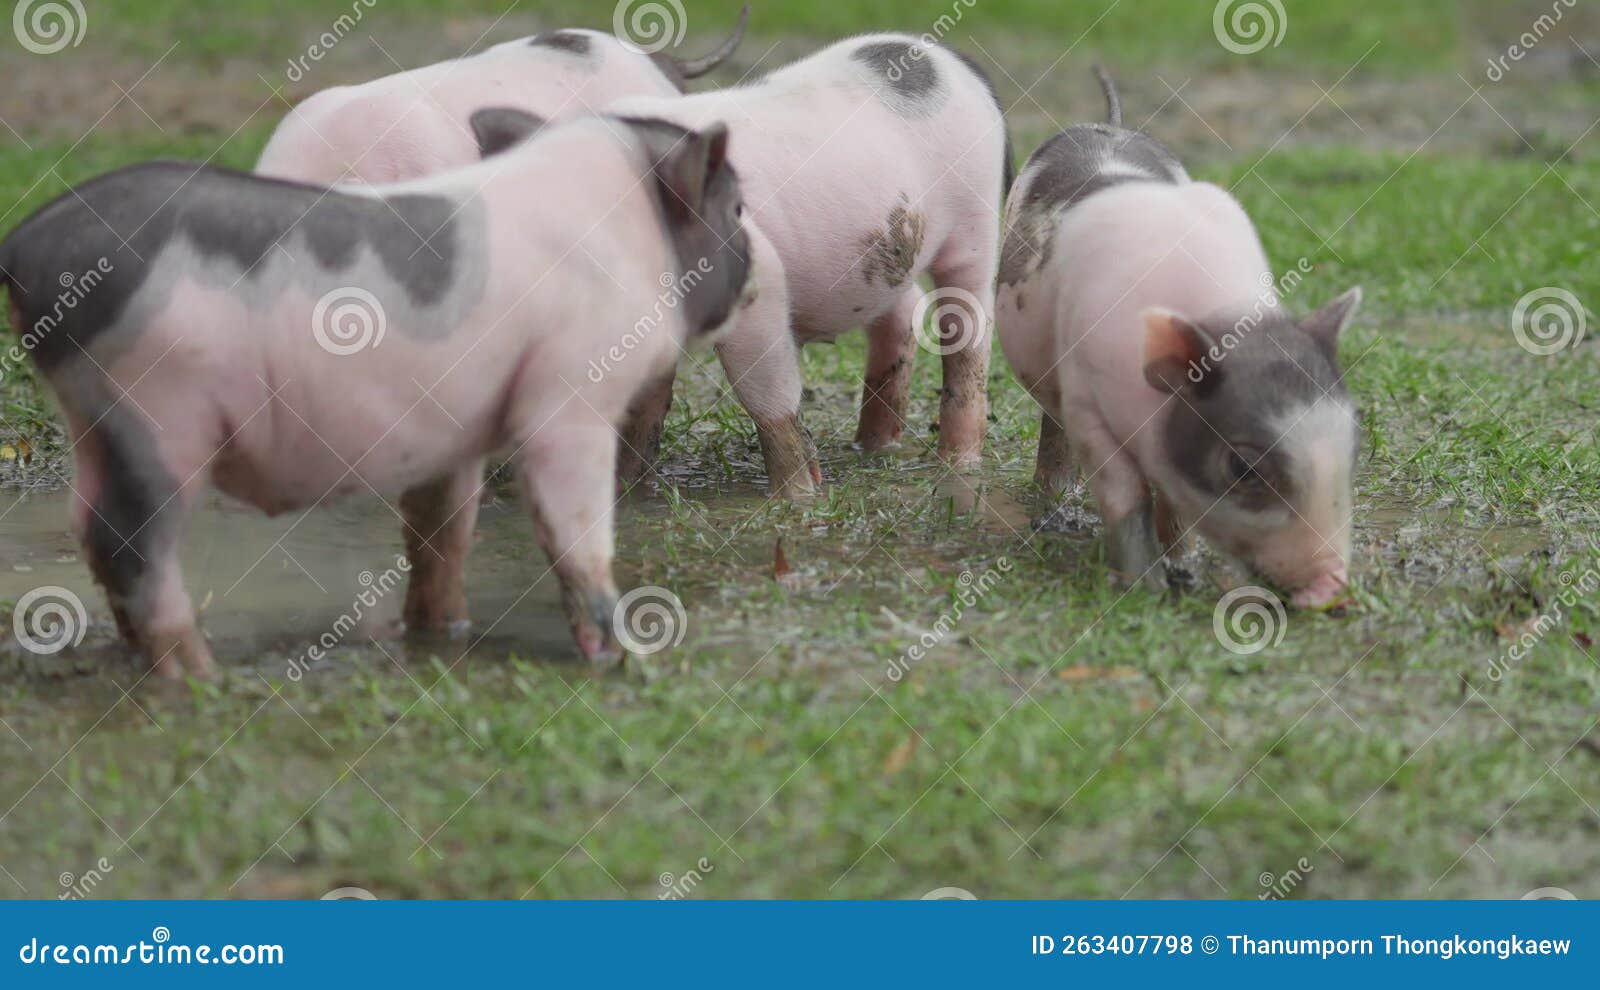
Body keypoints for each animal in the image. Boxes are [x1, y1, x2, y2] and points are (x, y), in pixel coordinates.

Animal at [0, 114, 753, 677]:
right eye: (738, 206)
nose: (754, 265)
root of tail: (26, 247)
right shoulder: (571, 392)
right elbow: (577, 533)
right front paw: (622, 660)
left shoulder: (458, 430)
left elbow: (441, 533)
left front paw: (443, 633)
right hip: (158, 407)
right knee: (131, 544)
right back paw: (201, 676)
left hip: (93, 416)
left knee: (89, 528)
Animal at [605, 33, 1011, 481]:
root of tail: (958, 64)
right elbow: (642, 410)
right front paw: (629, 486)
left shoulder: (756, 273)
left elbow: (769, 400)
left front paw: (799, 493)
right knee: (902, 313)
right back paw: (871, 447)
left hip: (976, 218)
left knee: (970, 331)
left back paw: (957, 464)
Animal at [996, 70, 1362, 607]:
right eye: (1243, 468)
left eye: (1352, 442)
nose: (1331, 585)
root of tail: (1111, 124)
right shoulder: (1088, 403)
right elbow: (1125, 495)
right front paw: (1144, 589)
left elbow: (1175, 501)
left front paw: (1185, 569)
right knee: (1053, 425)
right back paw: (1054, 510)